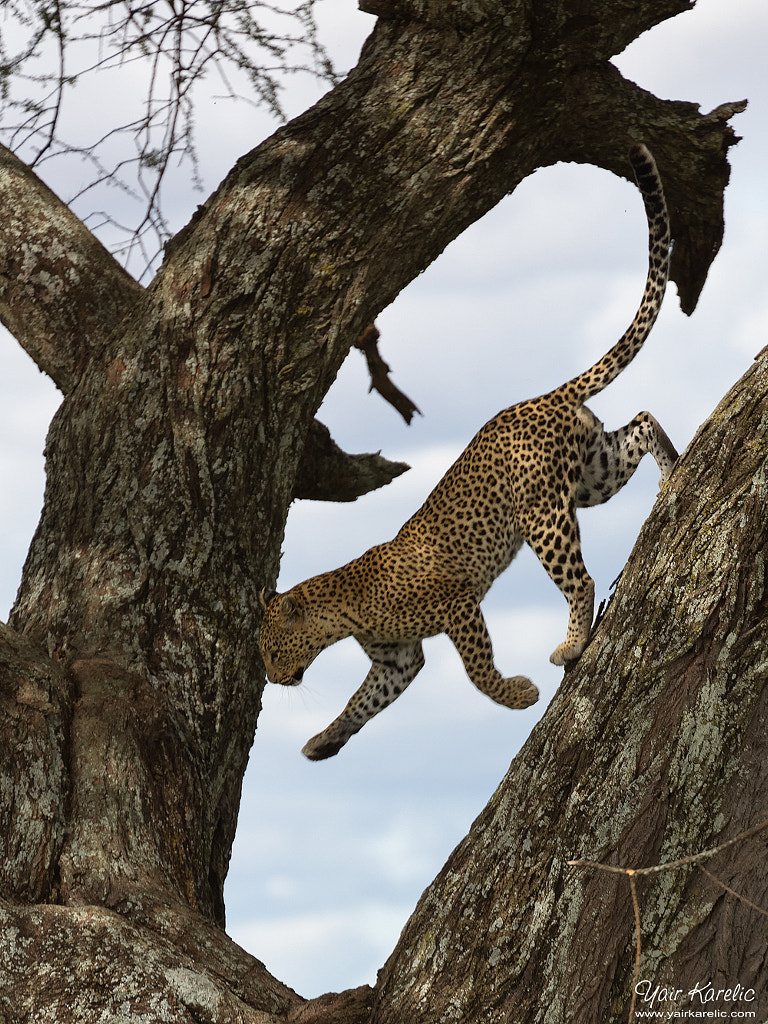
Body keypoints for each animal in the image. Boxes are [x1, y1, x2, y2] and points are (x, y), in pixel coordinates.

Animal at [259, 143, 678, 761]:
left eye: (270, 649)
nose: (269, 676)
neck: (343, 608)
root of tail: (541, 397)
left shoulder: (457, 604)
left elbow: (476, 673)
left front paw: (518, 694)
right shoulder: (398, 660)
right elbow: (361, 703)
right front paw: (324, 740)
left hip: (542, 516)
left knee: (581, 581)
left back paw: (572, 646)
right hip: (593, 474)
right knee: (644, 421)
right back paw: (674, 474)